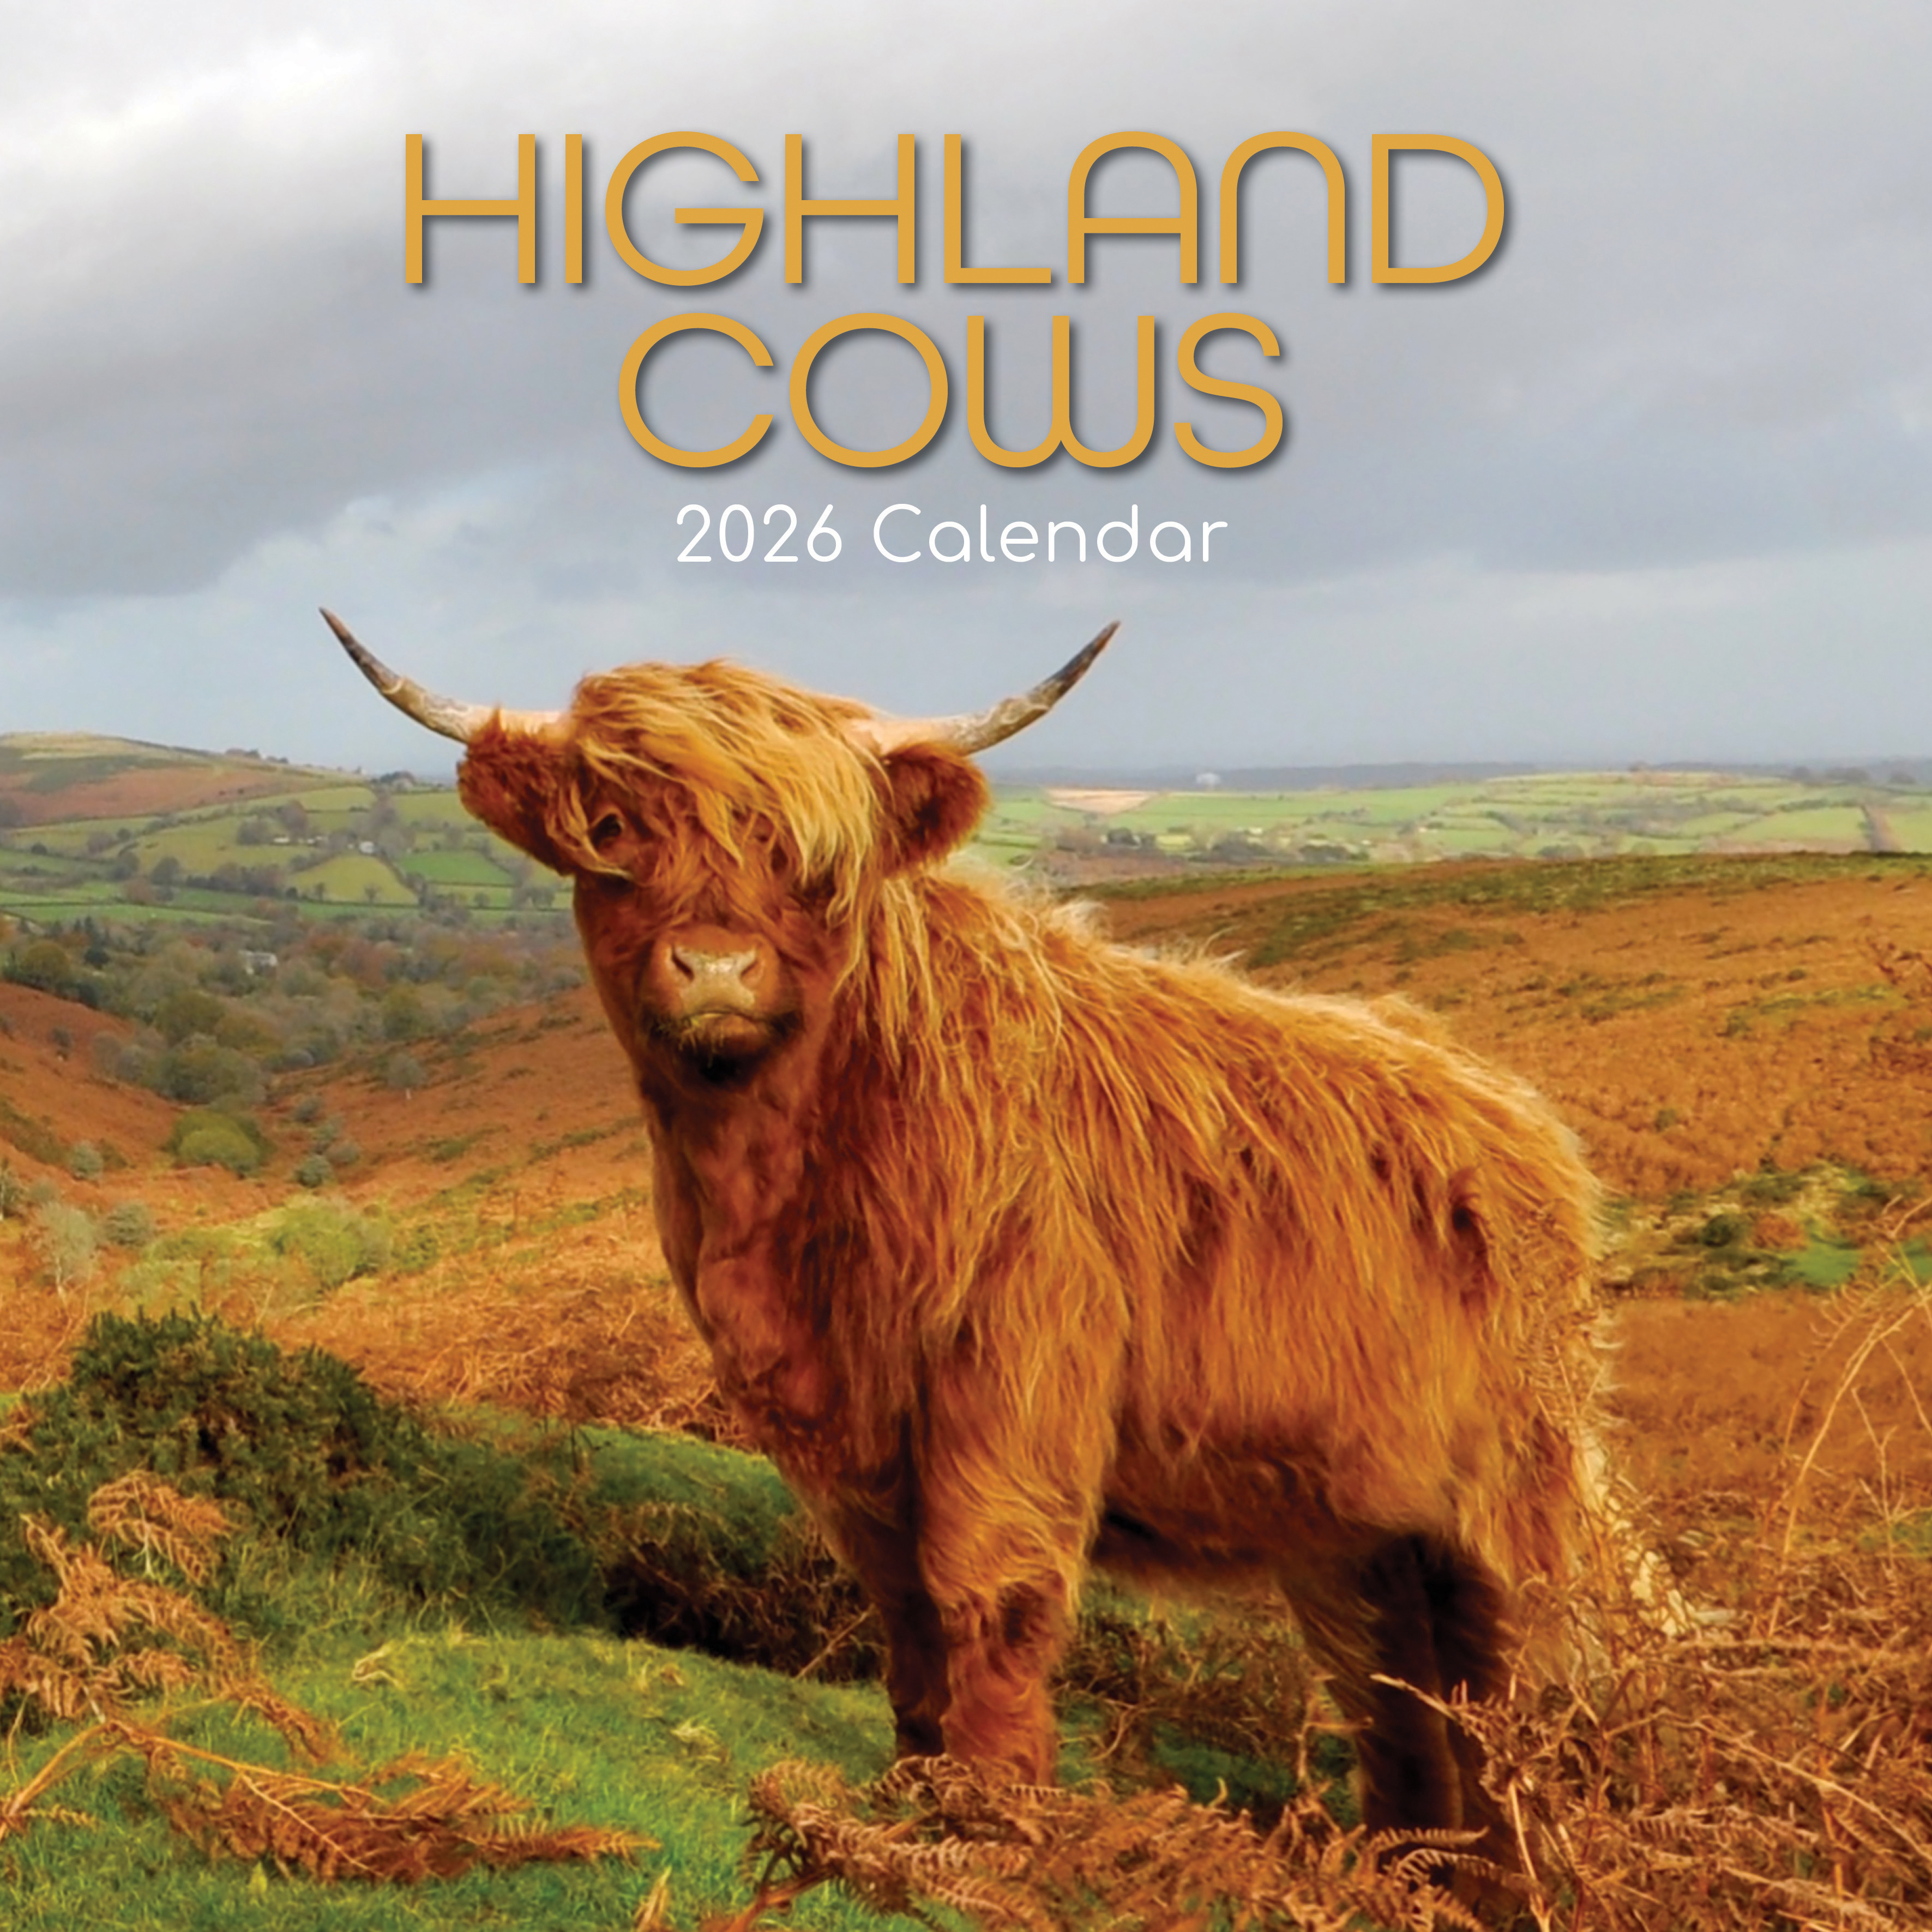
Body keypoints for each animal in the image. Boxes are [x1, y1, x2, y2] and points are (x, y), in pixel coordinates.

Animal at [324, 609, 1606, 1853]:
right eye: (610, 825)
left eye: (814, 859)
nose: (716, 967)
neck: (787, 1176)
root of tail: (1516, 1112)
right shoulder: (843, 1427)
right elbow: (902, 1606)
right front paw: (913, 1781)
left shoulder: (1014, 1378)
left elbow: (988, 1589)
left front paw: (991, 1813)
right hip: (1353, 1531)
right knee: (1397, 1701)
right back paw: (1414, 1874)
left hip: (1514, 1502)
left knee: (1514, 1692)